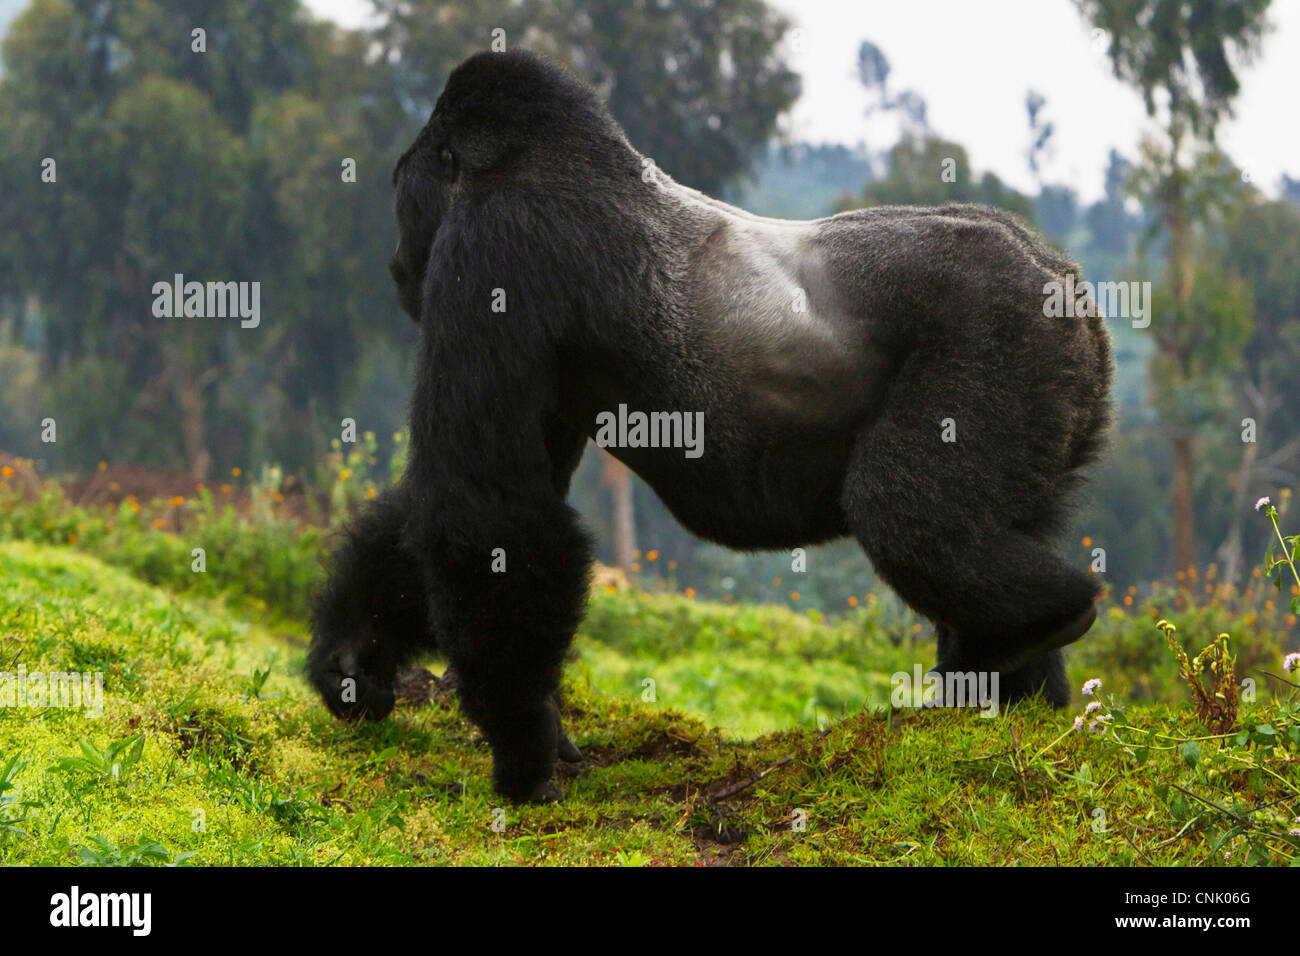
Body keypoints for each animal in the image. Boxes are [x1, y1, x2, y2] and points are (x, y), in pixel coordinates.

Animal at [307, 50, 1113, 803]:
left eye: (403, 199)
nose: (396, 266)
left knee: (907, 514)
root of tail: (1063, 282)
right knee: (988, 525)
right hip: (1048, 389)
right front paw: (354, 654)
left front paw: (523, 746)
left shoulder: (494, 247)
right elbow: (478, 496)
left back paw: (1036, 624)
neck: (522, 159)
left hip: (999, 332)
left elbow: (483, 505)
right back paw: (1015, 695)